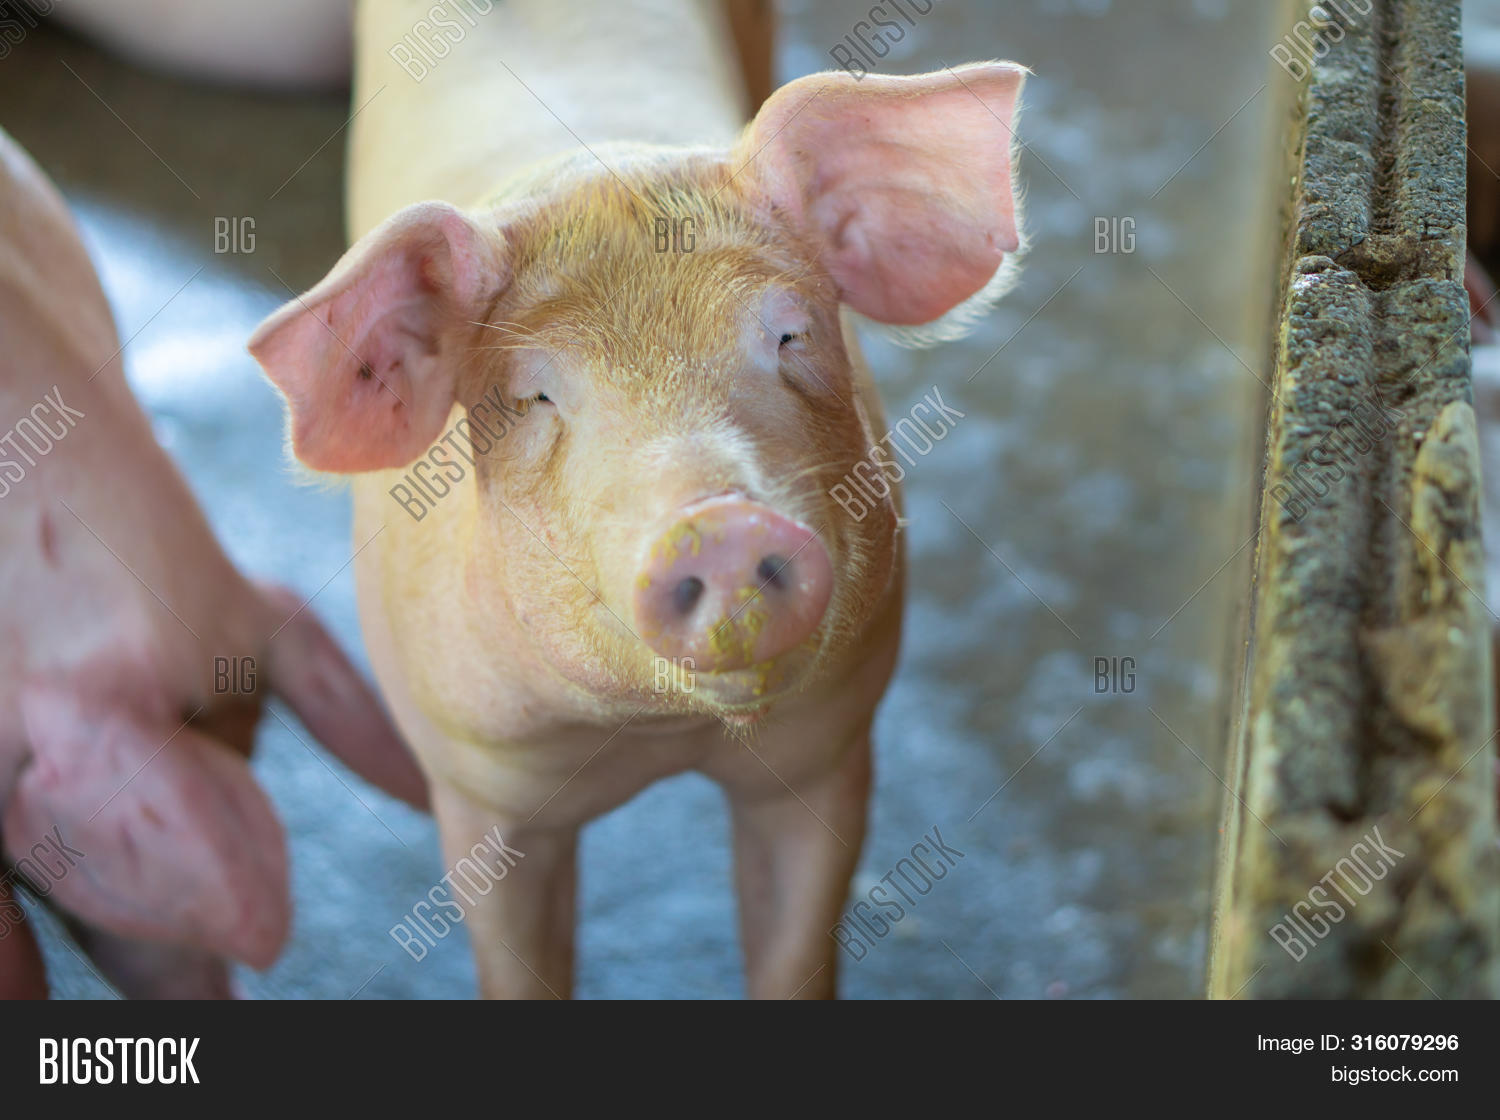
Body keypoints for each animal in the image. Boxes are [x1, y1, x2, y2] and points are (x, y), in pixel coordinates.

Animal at [250, 0, 1026, 998]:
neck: (659, 734)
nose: (718, 524)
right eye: (535, 396)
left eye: (790, 333)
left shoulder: (835, 734)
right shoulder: (473, 784)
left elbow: (795, 951)